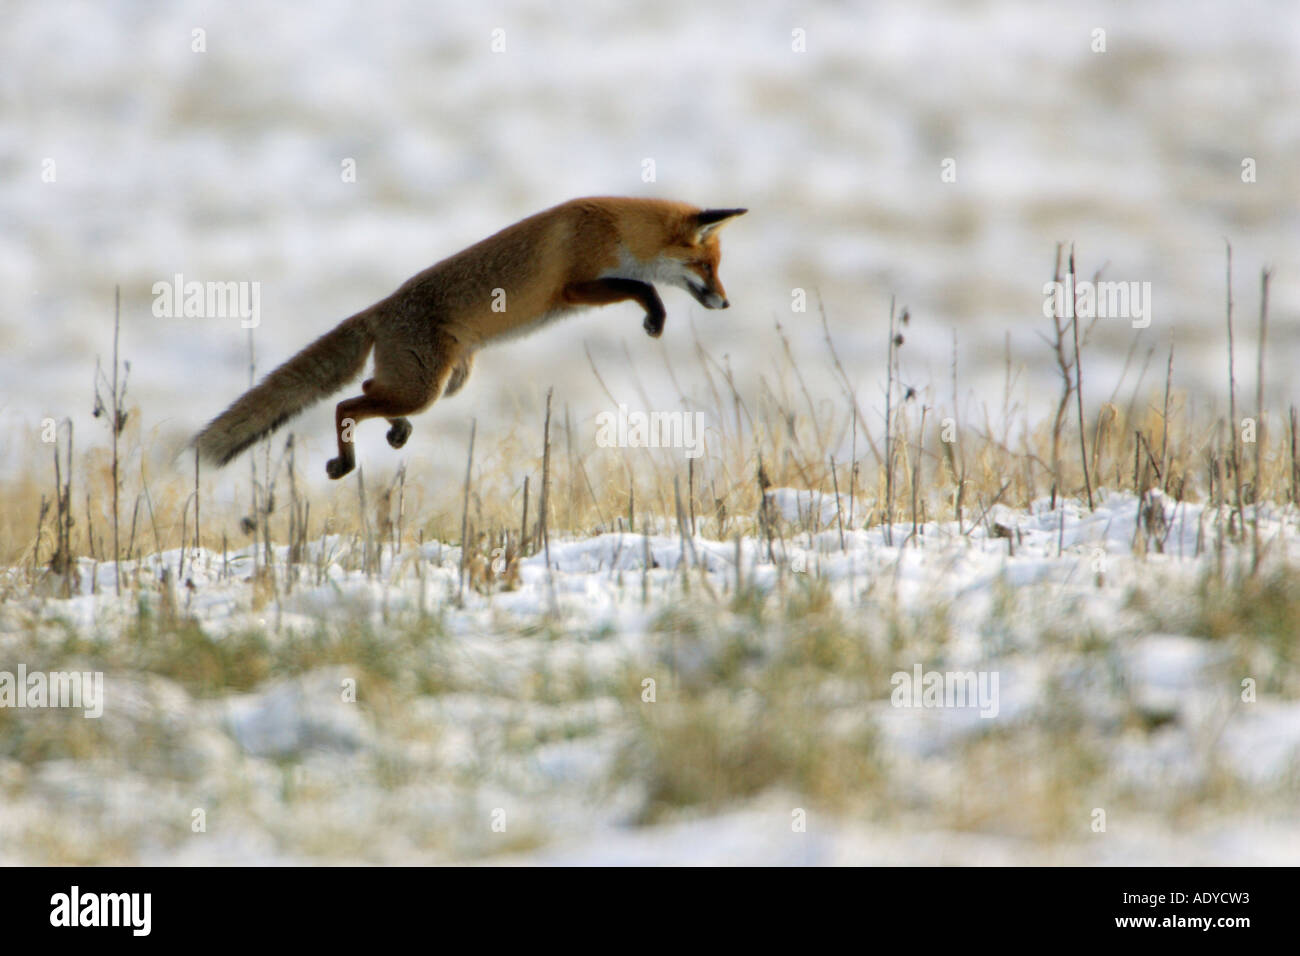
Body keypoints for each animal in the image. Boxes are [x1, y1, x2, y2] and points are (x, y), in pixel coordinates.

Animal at [192, 197, 745, 479]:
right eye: (707, 267)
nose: (726, 303)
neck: (617, 229)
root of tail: (378, 309)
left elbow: (640, 282)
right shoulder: (575, 286)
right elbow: (642, 285)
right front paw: (655, 317)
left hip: (440, 384)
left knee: (367, 392)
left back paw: (395, 433)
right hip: (424, 388)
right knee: (346, 405)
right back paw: (345, 462)